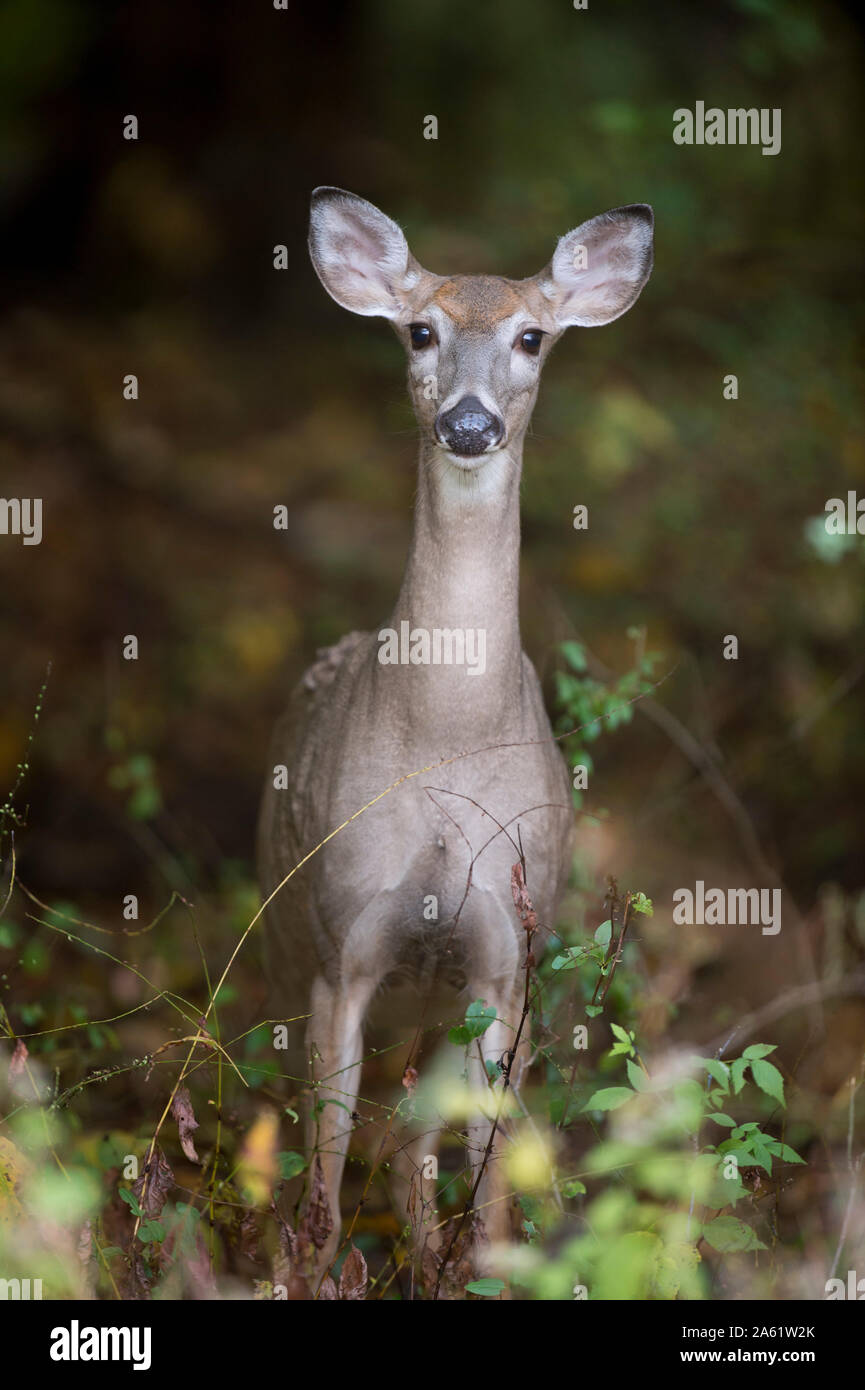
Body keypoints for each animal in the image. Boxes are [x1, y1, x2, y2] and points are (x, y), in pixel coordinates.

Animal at [258, 187, 653, 1289]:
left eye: (531, 337)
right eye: (419, 331)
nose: (467, 422)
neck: (442, 740)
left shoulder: (503, 952)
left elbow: (487, 1173)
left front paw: (483, 1266)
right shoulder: (341, 943)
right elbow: (324, 1168)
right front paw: (315, 1268)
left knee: (414, 1146)